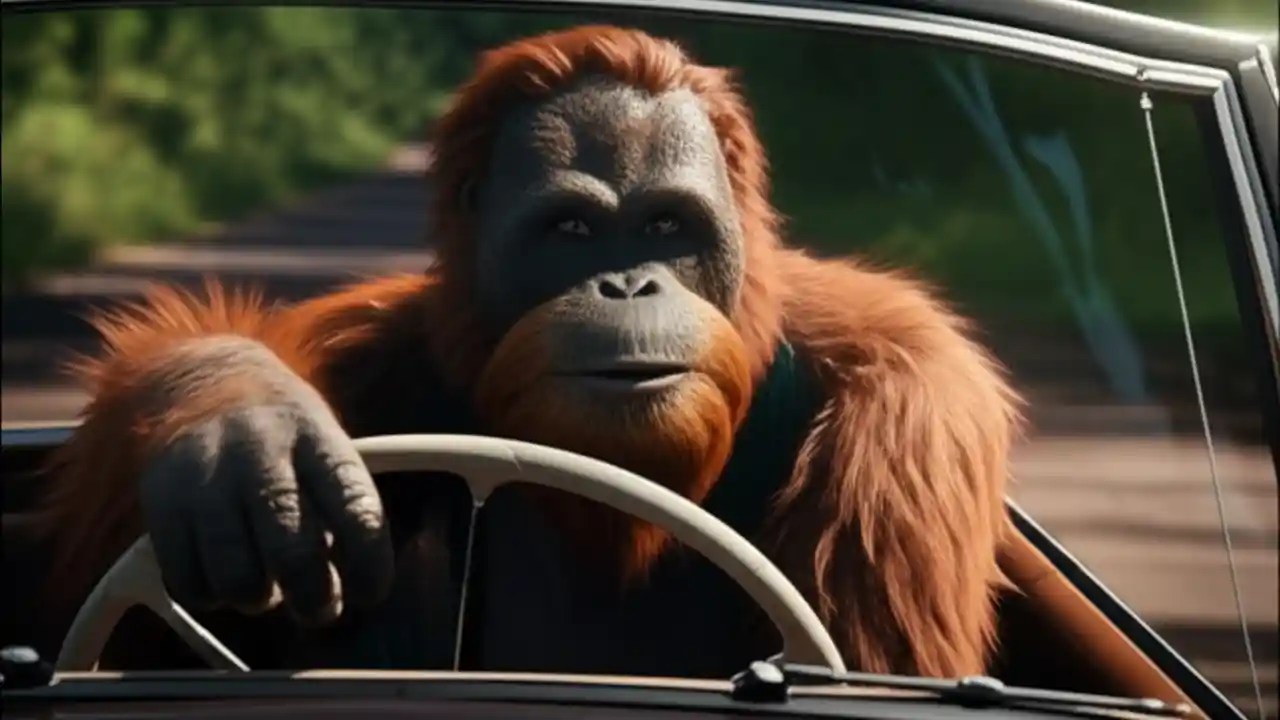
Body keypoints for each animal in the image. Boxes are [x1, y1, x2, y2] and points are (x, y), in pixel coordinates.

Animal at [24, 25, 1021, 679]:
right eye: (573, 229)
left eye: (666, 226)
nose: (629, 285)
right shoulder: (379, 345)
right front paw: (240, 425)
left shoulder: (906, 408)